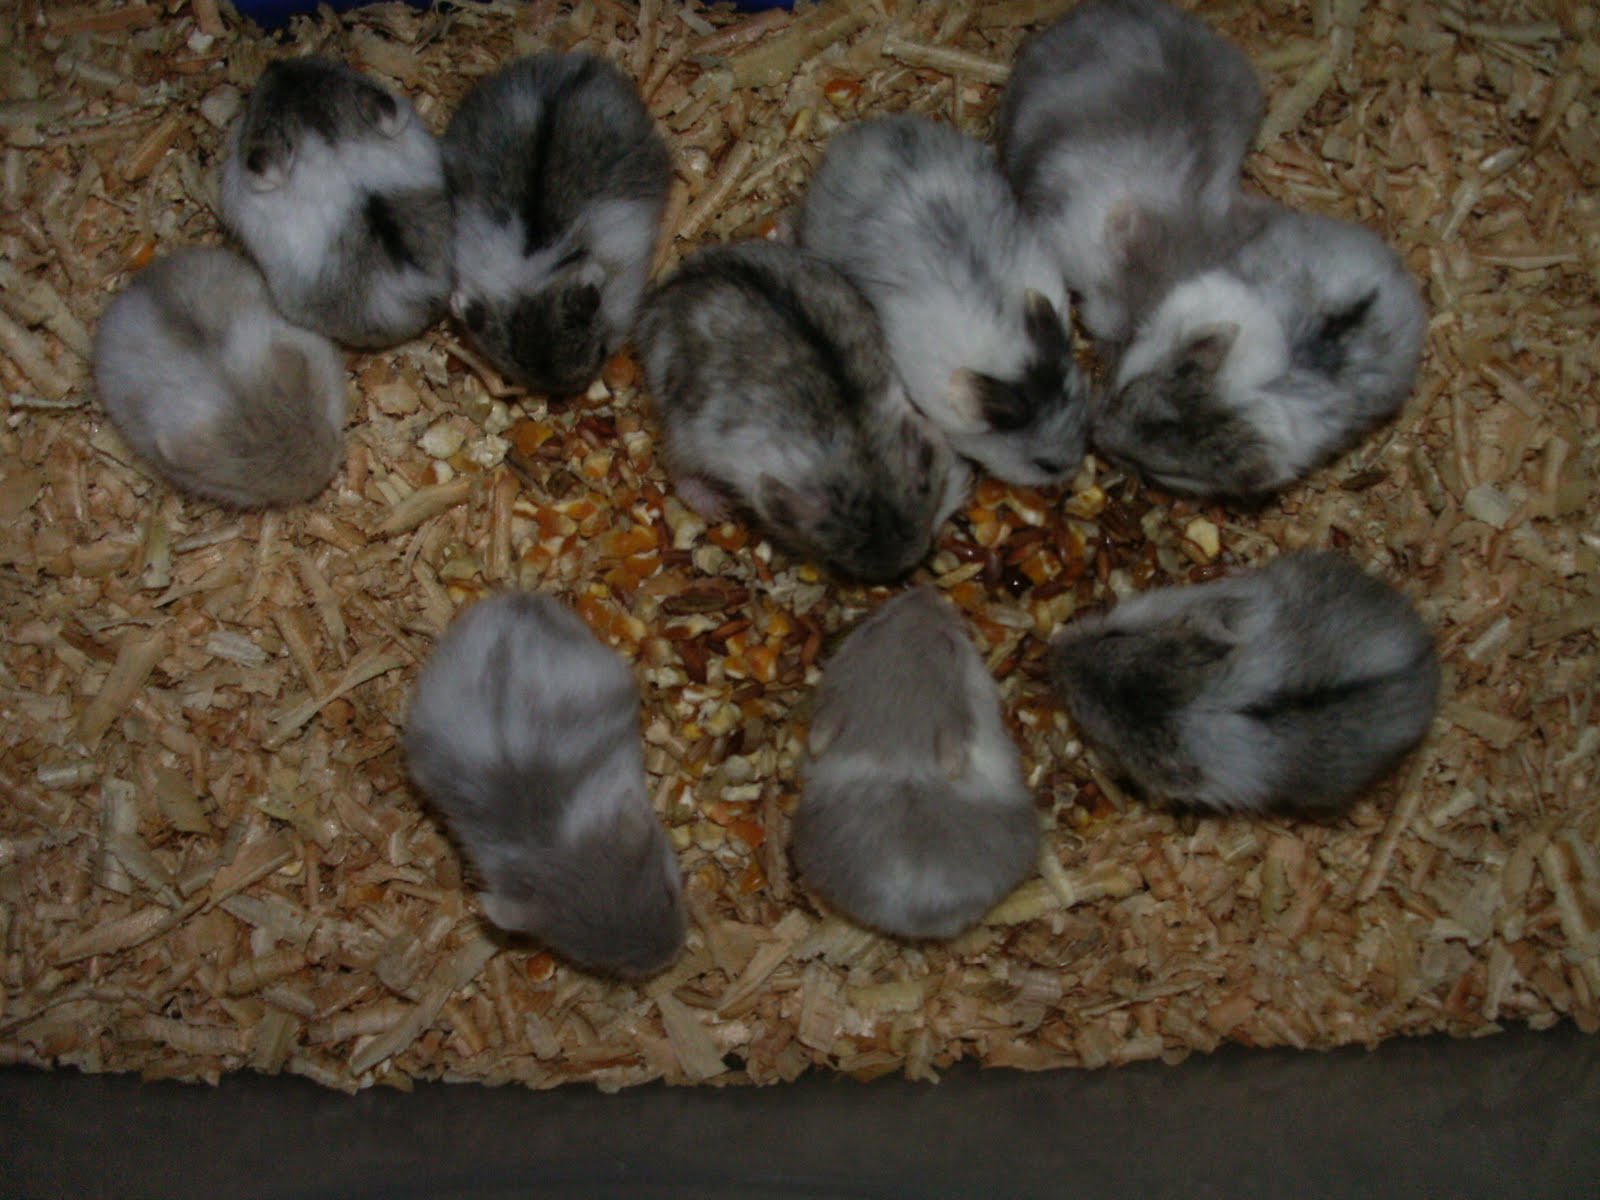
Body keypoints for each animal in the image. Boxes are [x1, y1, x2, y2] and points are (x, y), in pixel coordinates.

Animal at [635, 241, 968, 585]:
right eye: (834, 561)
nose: (898, 572)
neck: (860, 452)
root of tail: (669, 286)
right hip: (683, 429)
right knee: (679, 467)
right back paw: (716, 508)